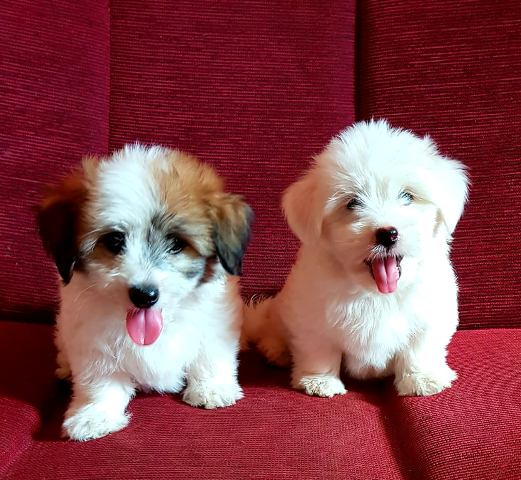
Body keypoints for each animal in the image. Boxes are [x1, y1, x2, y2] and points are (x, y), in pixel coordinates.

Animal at [37, 144, 252, 440]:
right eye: (115, 241)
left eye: (176, 243)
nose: (144, 295)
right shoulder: (90, 336)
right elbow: (98, 378)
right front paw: (95, 414)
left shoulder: (217, 320)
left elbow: (210, 353)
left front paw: (211, 388)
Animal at [244, 119, 468, 398]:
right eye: (352, 203)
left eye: (408, 196)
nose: (387, 233)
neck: (375, 292)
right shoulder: (312, 315)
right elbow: (319, 348)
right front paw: (320, 381)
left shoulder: (430, 312)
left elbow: (420, 346)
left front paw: (422, 378)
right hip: (281, 310)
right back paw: (275, 350)